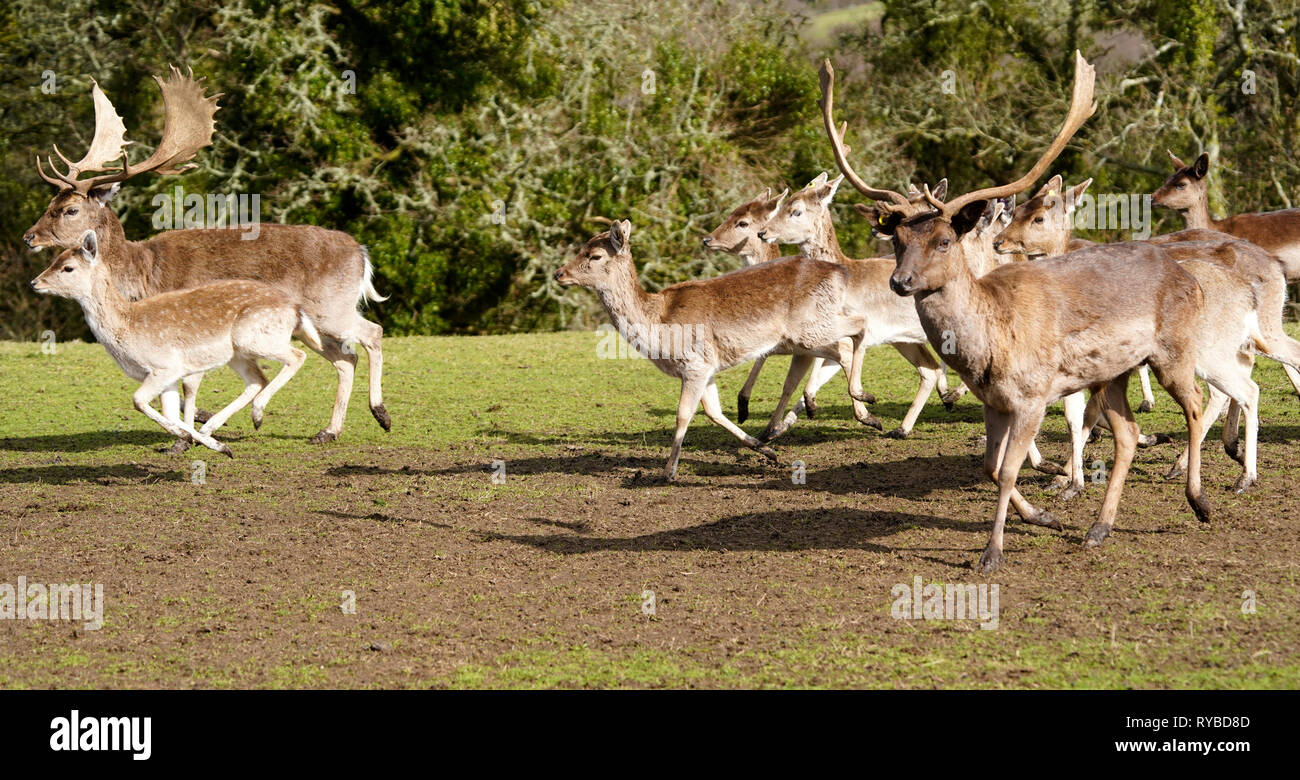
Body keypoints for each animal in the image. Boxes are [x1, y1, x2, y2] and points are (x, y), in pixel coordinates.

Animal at [31, 229, 321, 456]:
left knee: (297, 356)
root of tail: (295, 308)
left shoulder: (165, 366)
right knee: (257, 379)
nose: (34, 282)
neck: (127, 328)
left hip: (257, 338)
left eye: (68, 267)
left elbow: (138, 400)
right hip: (238, 353)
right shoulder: (168, 376)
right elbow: (170, 413)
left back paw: (257, 414)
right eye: (55, 259)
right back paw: (219, 426)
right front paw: (209, 443)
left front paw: (195, 439)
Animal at [555, 219, 876, 481]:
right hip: (803, 337)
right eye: (581, 248)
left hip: (809, 327)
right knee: (836, 349)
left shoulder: (694, 363)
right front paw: (766, 451)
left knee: (856, 329)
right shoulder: (707, 368)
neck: (658, 323)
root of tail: (840, 272)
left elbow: (684, 414)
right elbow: (713, 411)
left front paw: (668, 472)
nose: (559, 273)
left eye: (595, 255)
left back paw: (864, 402)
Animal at [821, 51, 1215, 572]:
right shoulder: (994, 400)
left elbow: (1008, 470)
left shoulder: (1032, 394)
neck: (991, 342)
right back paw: (1099, 528)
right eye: (898, 239)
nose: (899, 282)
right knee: (1129, 433)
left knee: (1195, 404)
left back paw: (1199, 501)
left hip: (1174, 349)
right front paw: (1044, 517)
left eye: (944, 240)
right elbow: (990, 467)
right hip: (1111, 372)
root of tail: (1186, 276)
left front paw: (991, 552)